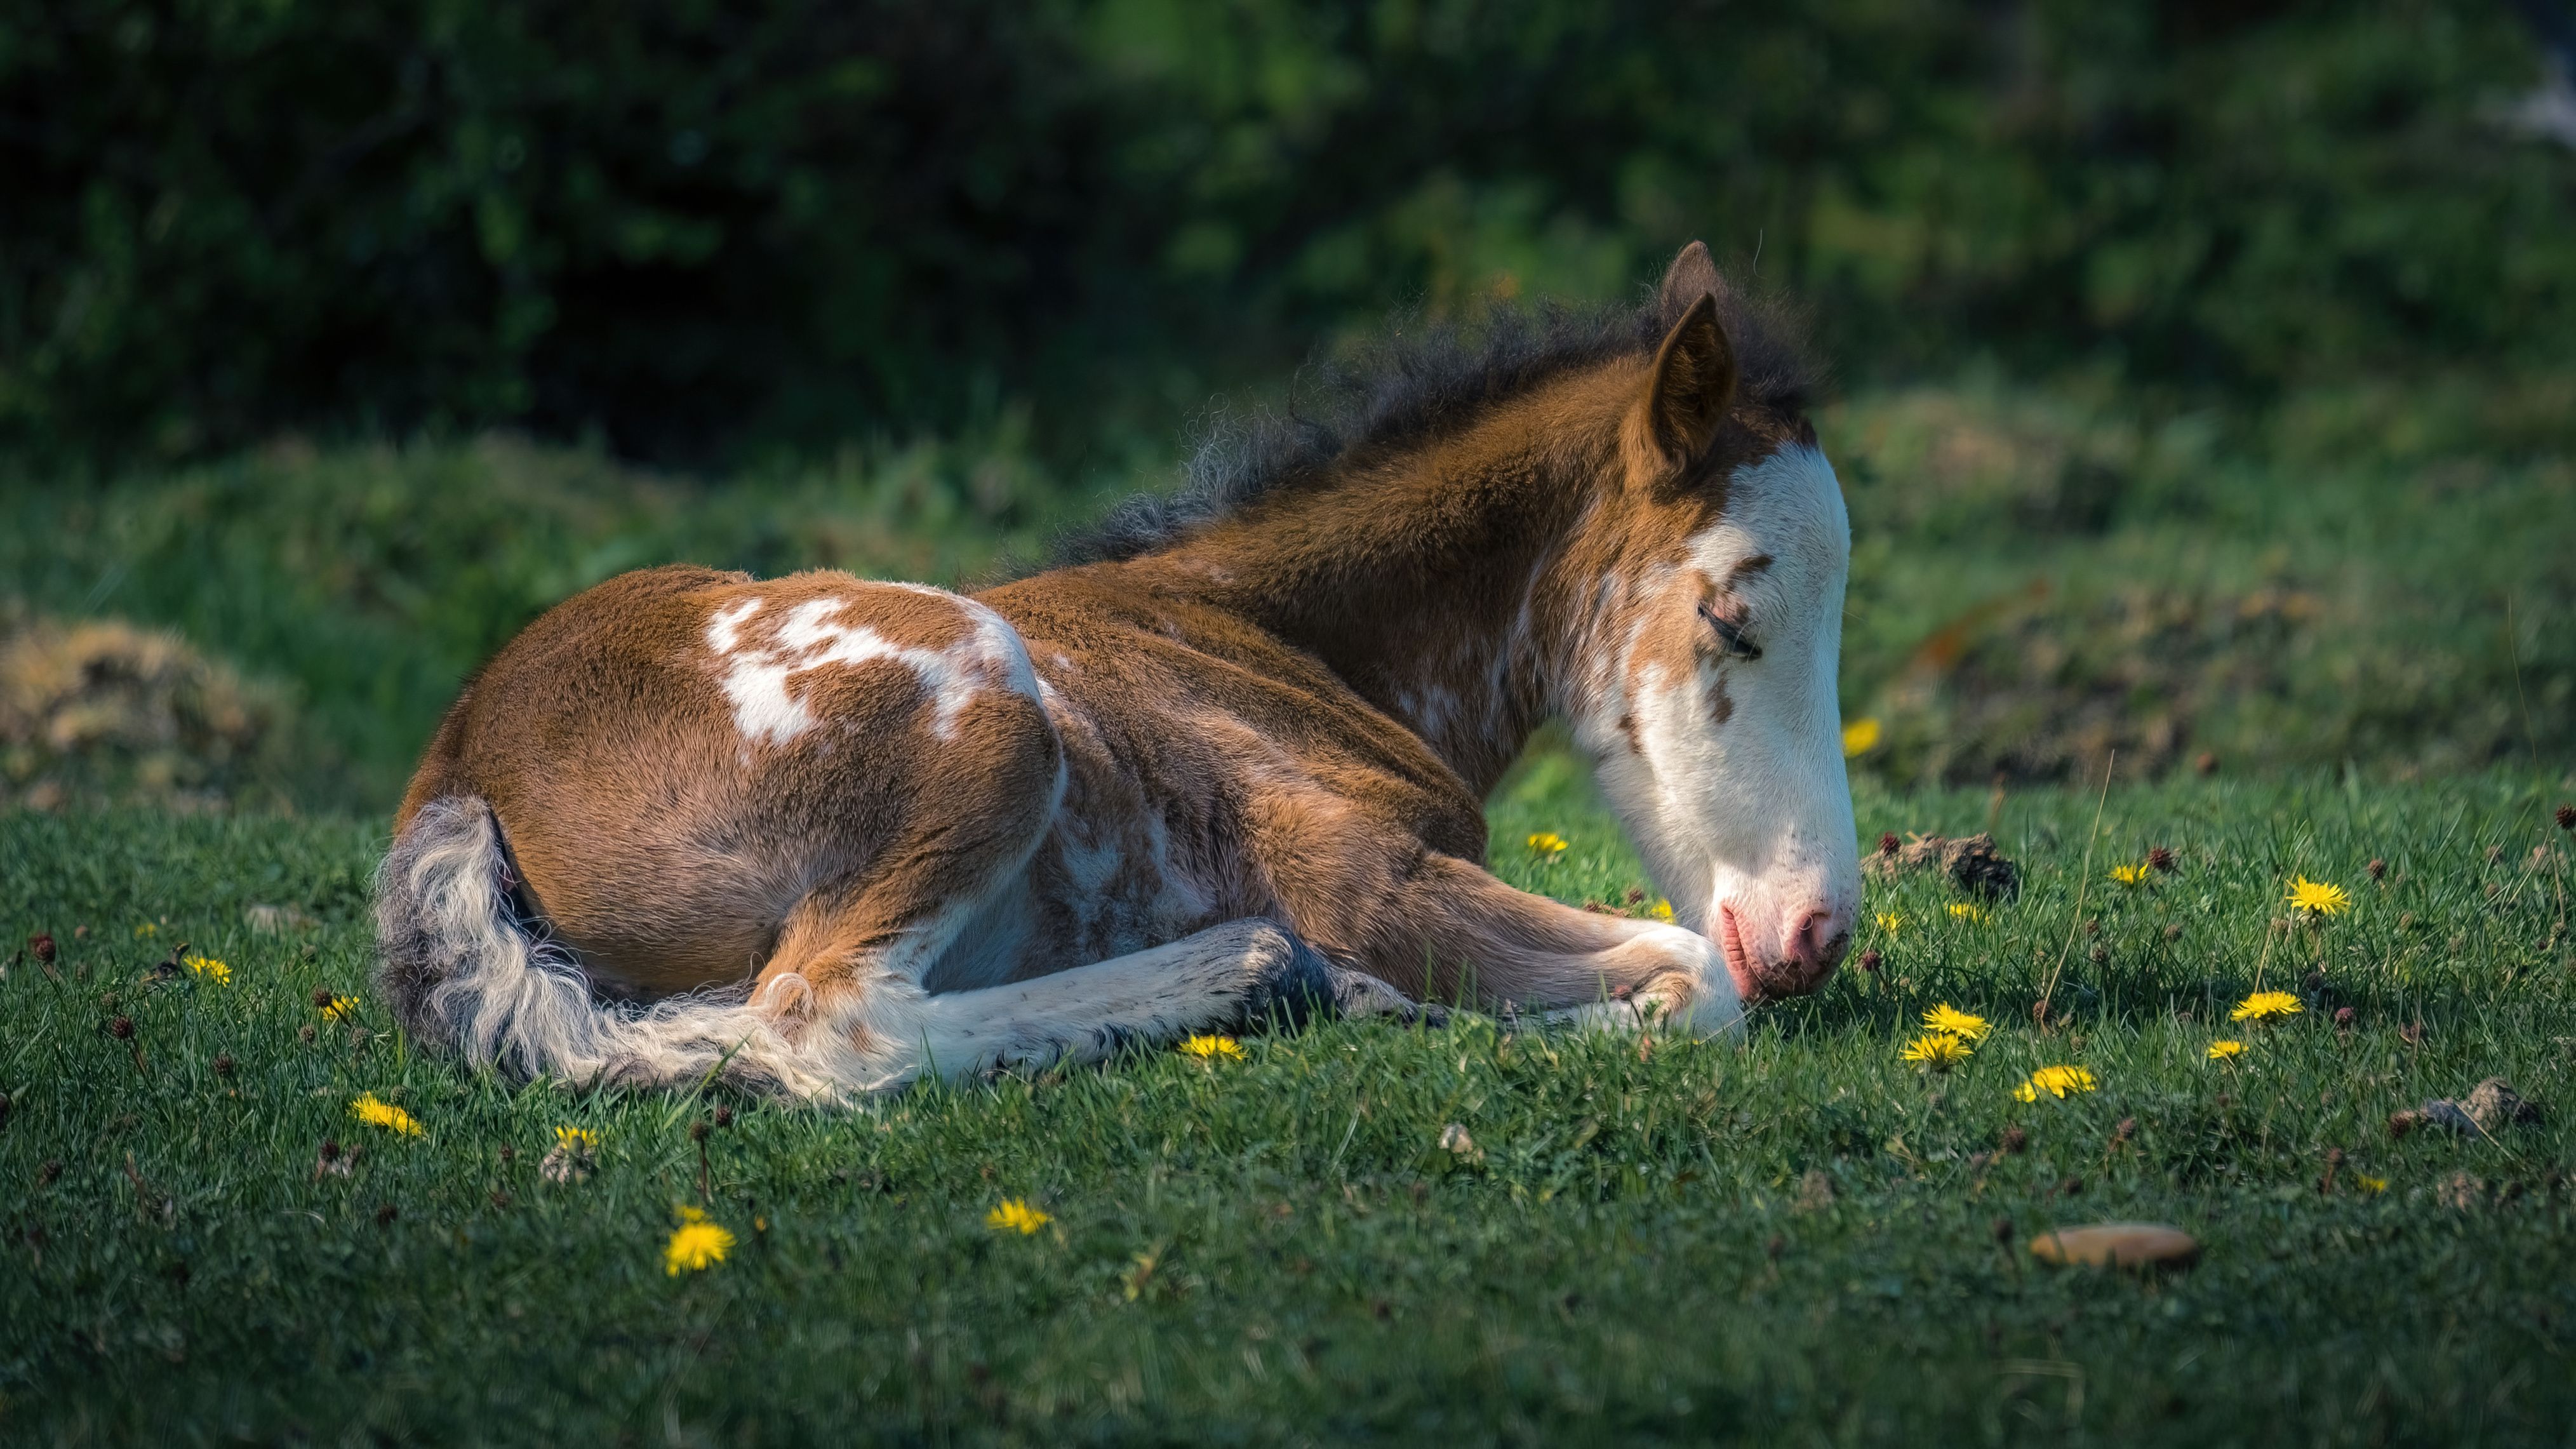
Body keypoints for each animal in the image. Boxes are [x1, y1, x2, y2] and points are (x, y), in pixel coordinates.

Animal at [374, 241, 1862, 1100]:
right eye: (1731, 617)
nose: (1814, 932)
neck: (1283, 638)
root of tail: (459, 760)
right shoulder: (1363, 873)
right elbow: (1693, 982)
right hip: (983, 703)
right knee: (828, 1023)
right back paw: (1252, 974)